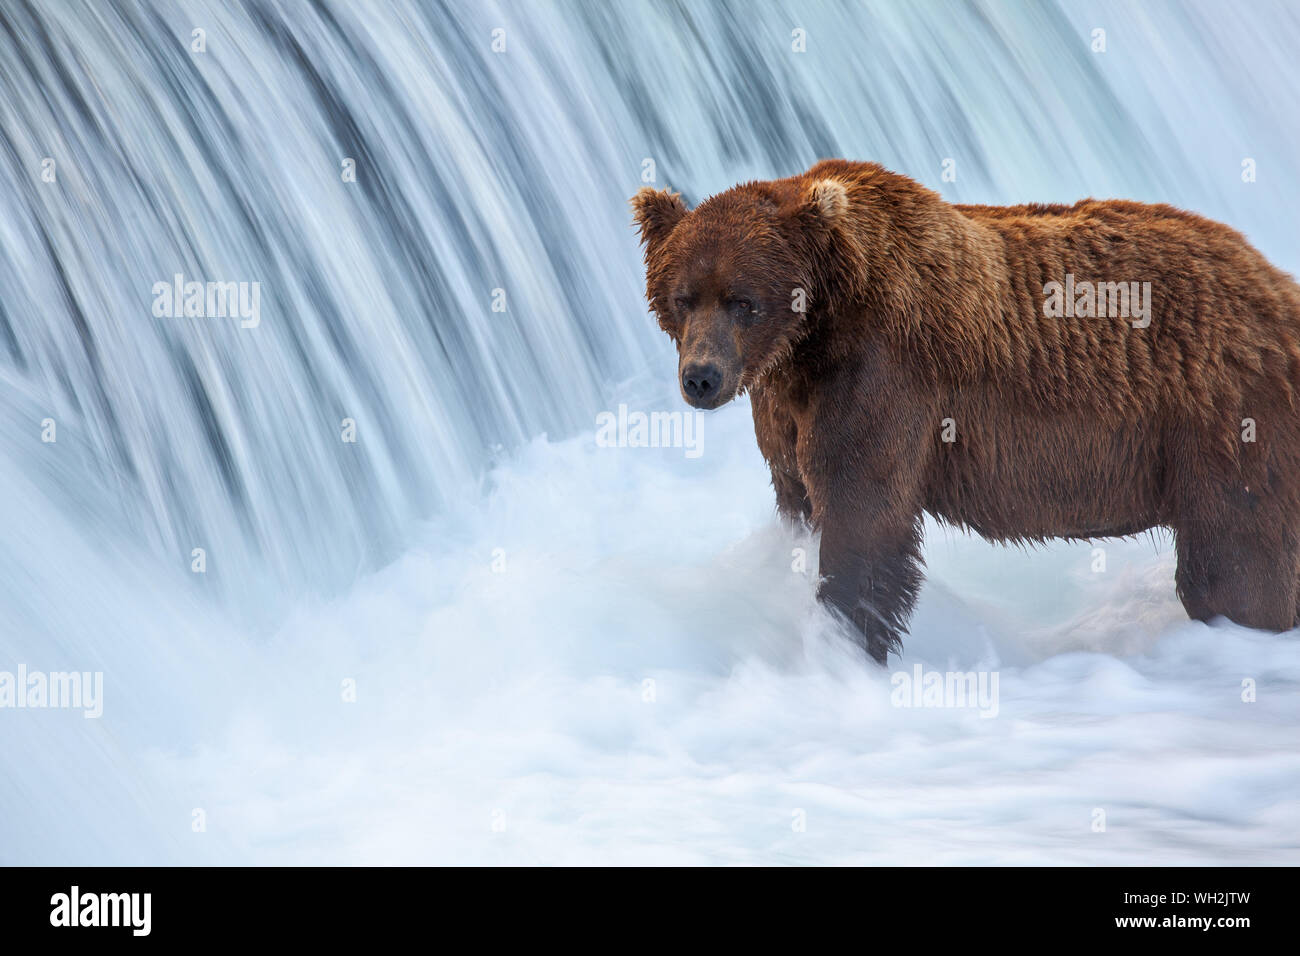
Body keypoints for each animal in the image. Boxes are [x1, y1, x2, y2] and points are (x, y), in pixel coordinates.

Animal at [632, 159, 1300, 663]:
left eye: (743, 301)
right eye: (683, 297)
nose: (702, 378)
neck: (810, 338)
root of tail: (1274, 283)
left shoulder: (884, 379)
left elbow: (863, 514)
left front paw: (846, 643)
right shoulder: (784, 406)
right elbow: (798, 497)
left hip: (1225, 417)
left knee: (1237, 563)